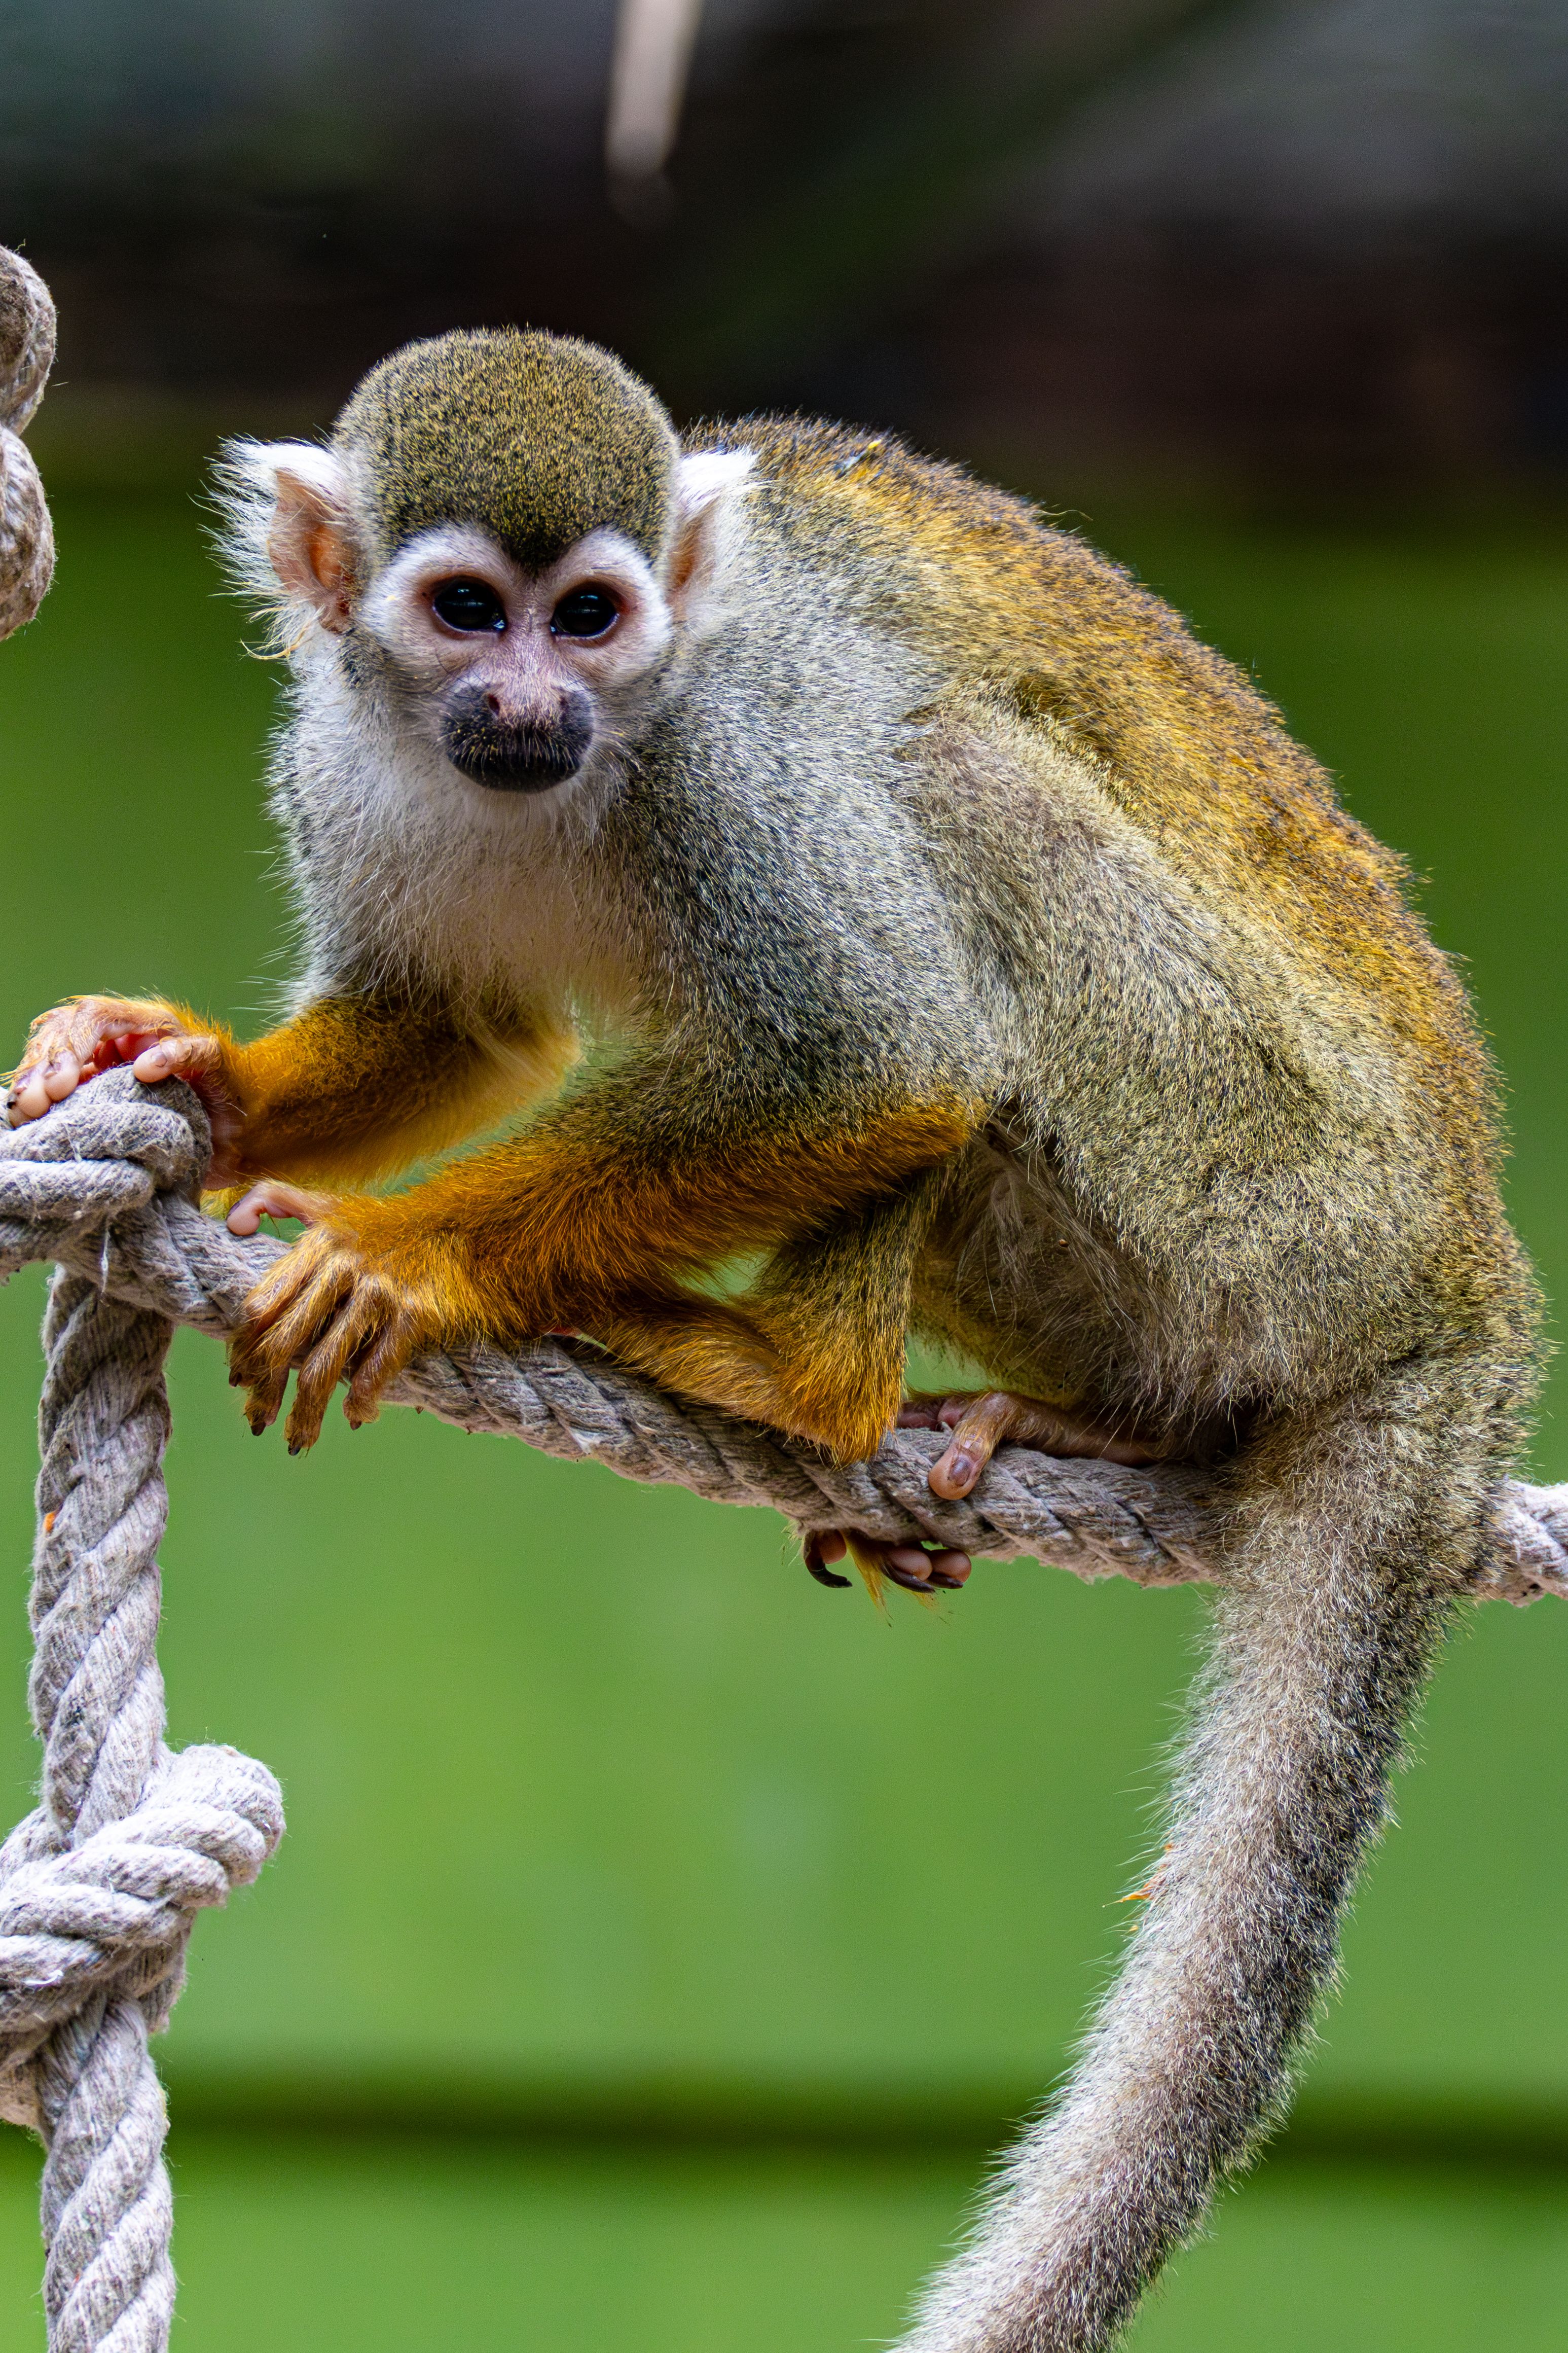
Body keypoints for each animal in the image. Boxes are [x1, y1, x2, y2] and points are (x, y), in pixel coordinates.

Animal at [5, 327, 1539, 2349]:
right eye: (466, 610)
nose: (528, 700)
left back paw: (806, 1378)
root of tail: (1466, 1277)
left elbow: (884, 1052)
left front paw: (409, 1261)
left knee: (944, 801)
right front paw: (180, 1068)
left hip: (1269, 1169)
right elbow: (462, 1026)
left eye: (591, 615)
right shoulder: (345, 745)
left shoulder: (733, 766)